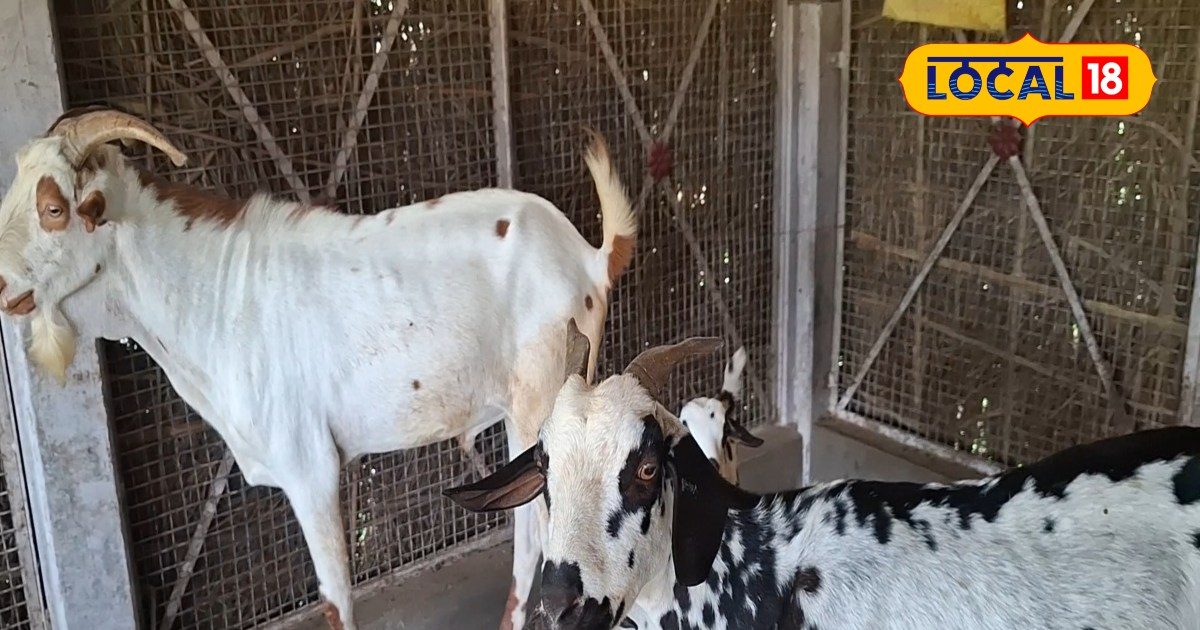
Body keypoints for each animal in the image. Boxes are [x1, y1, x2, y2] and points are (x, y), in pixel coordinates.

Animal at [0, 109, 636, 630]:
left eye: (53, 208)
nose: (4, 288)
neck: (220, 297)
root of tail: (588, 256)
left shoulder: (309, 469)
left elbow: (335, 601)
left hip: (538, 403)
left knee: (537, 534)